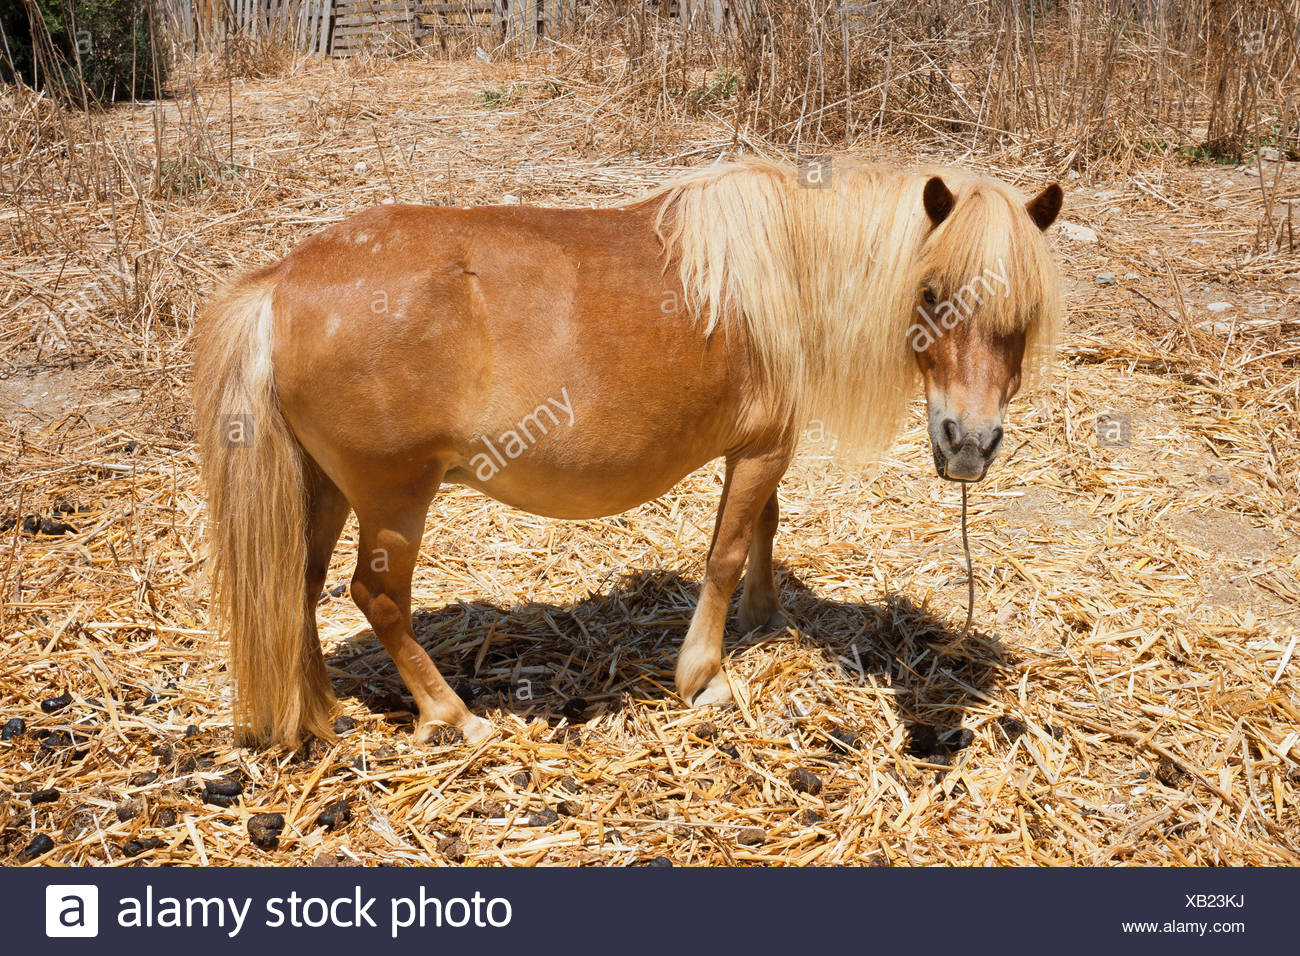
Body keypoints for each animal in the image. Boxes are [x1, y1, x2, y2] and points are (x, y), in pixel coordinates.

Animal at [192, 158, 1063, 748]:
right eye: (930, 293)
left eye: (1026, 313)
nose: (967, 444)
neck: (785, 270)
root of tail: (281, 282)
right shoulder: (761, 450)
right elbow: (725, 552)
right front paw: (703, 676)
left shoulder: (762, 449)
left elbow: (764, 530)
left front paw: (766, 618)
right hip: (393, 497)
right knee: (375, 599)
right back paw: (454, 716)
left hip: (326, 488)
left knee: (296, 587)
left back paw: (317, 711)